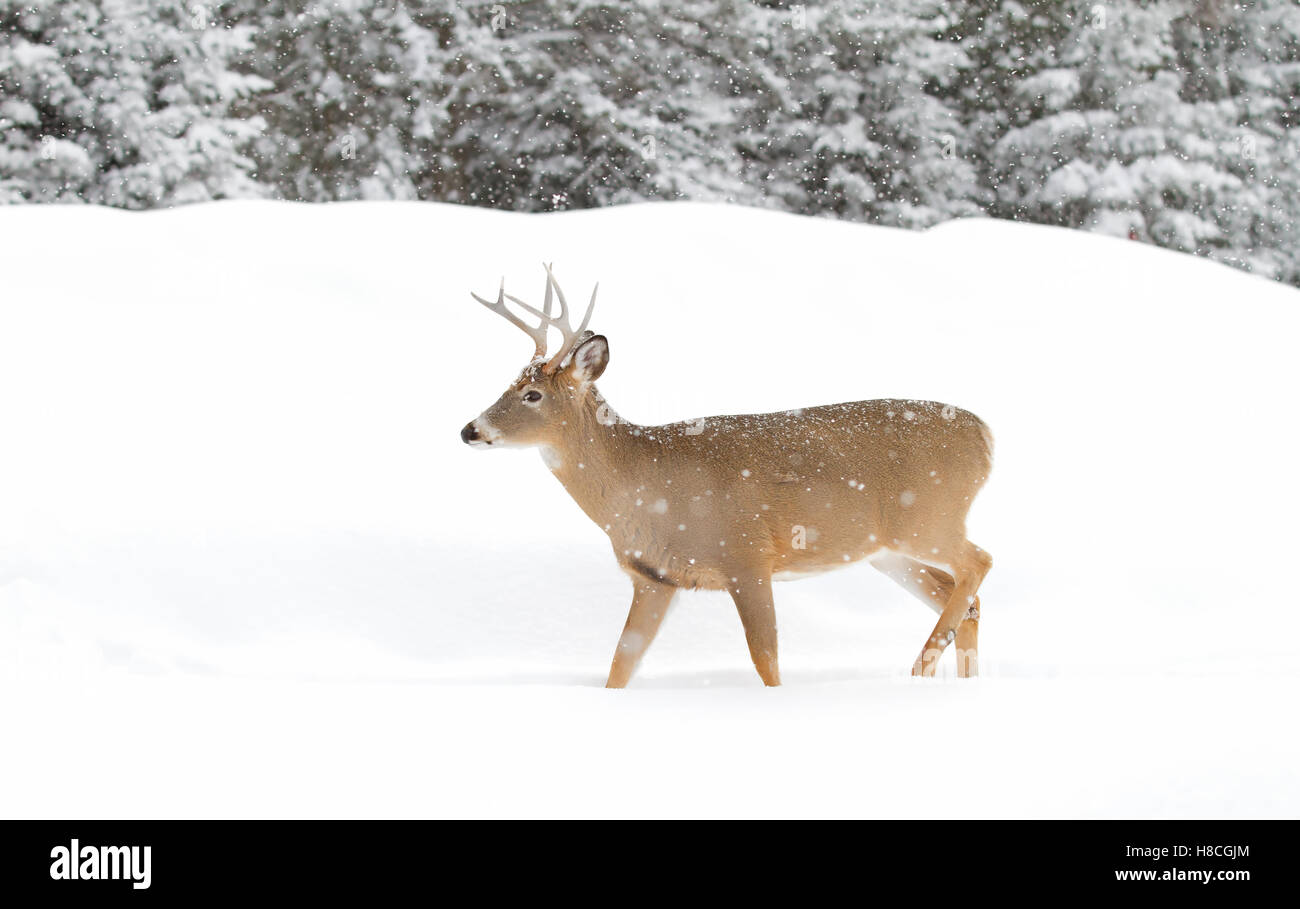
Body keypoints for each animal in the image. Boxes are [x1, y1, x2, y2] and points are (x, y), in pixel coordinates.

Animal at [460, 266, 993, 687]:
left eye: (532, 394)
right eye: (509, 383)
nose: (470, 430)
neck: (644, 488)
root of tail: (987, 436)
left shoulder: (746, 554)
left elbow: (765, 657)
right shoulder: (655, 577)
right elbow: (621, 663)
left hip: (929, 518)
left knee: (979, 562)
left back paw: (918, 671)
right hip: (885, 551)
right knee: (964, 599)